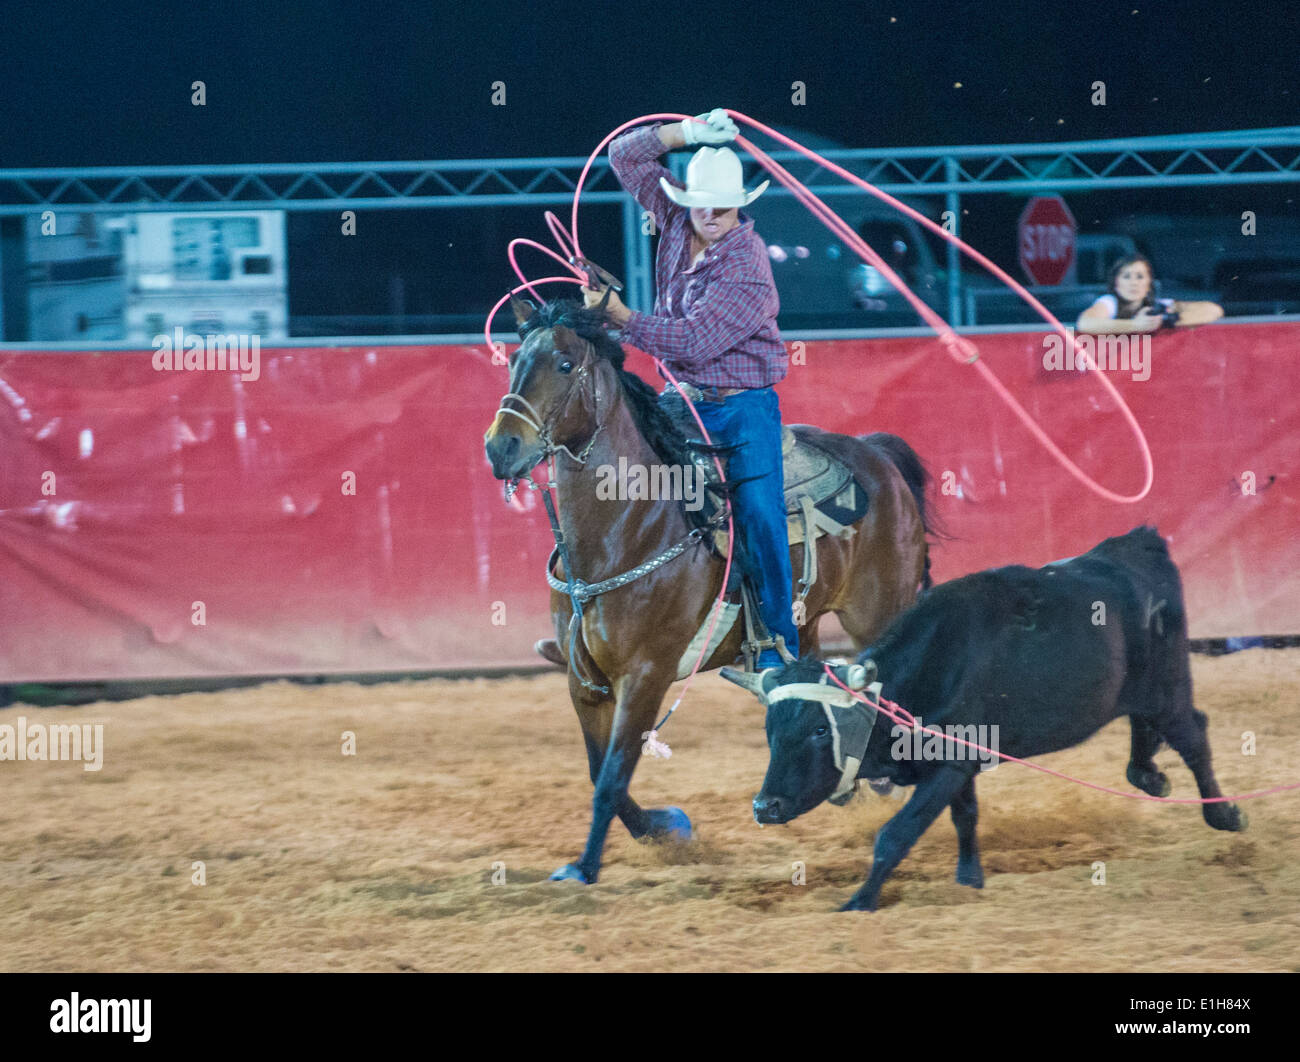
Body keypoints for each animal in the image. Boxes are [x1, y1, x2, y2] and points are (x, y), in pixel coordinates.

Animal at [722, 526, 1246, 912]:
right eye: (771, 732)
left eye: (818, 730)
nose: (765, 806)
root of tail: (1137, 544)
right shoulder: (962, 764)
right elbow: (965, 817)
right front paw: (969, 878)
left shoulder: (949, 764)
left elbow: (897, 834)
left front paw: (860, 901)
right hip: (1140, 690)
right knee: (1144, 729)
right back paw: (1151, 775)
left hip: (1168, 685)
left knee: (1193, 736)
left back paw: (1223, 813)